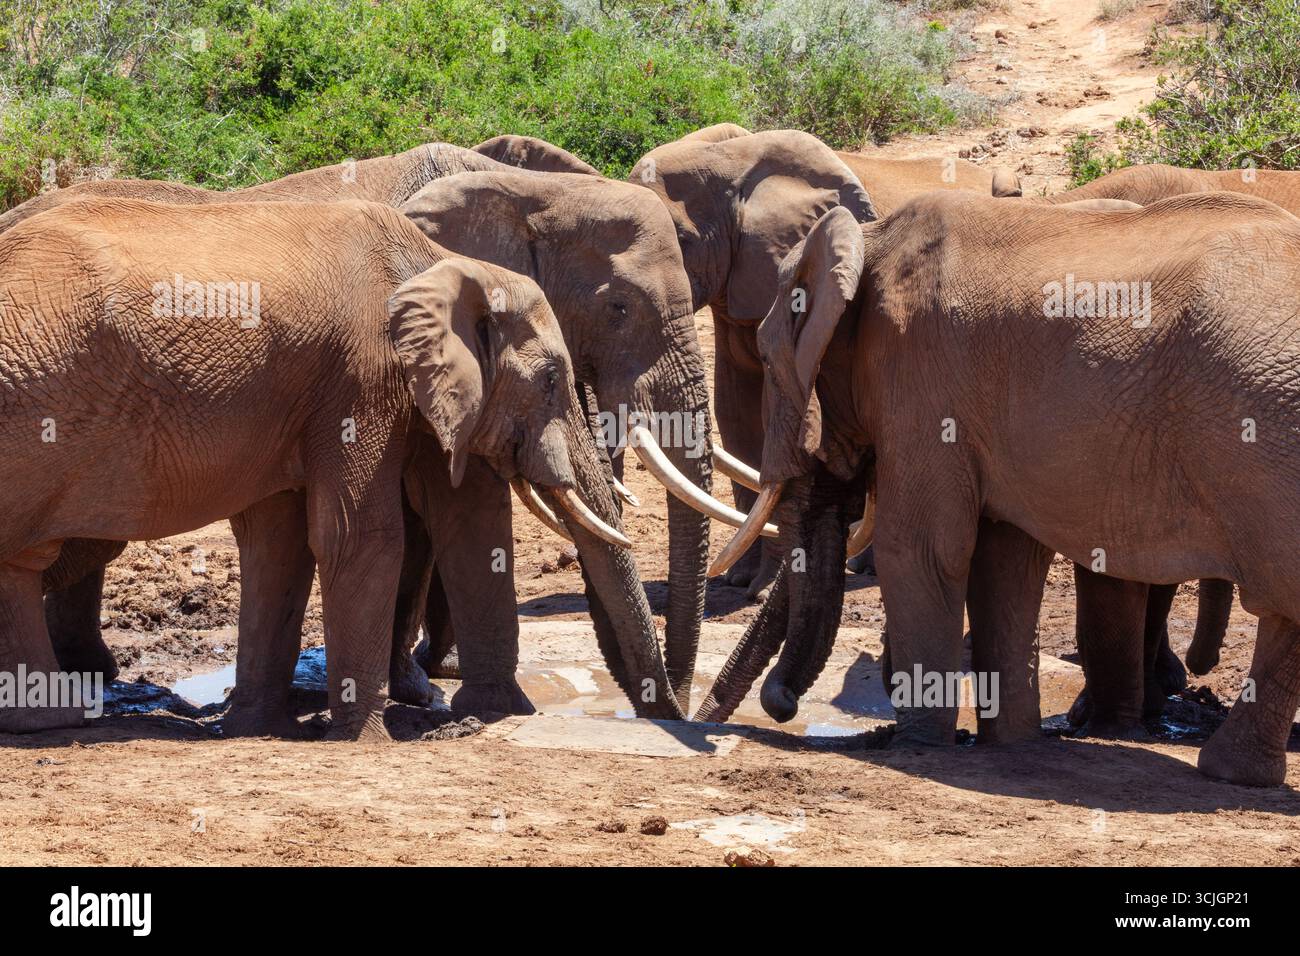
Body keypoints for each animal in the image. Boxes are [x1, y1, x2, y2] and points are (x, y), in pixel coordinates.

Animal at [0, 196, 669, 738]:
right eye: (553, 379)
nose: (666, 715)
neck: (439, 264)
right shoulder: (360, 378)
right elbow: (357, 535)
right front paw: (364, 741)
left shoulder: (311, 396)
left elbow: (286, 541)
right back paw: (54, 720)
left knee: (19, 563)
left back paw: (45, 720)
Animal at [702, 192, 1300, 787]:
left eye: (767, 359)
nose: (778, 705)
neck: (870, 241)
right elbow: (1004, 560)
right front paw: (1011, 743)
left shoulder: (921, 382)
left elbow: (921, 548)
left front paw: (916, 746)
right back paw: (1237, 773)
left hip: (1267, 437)